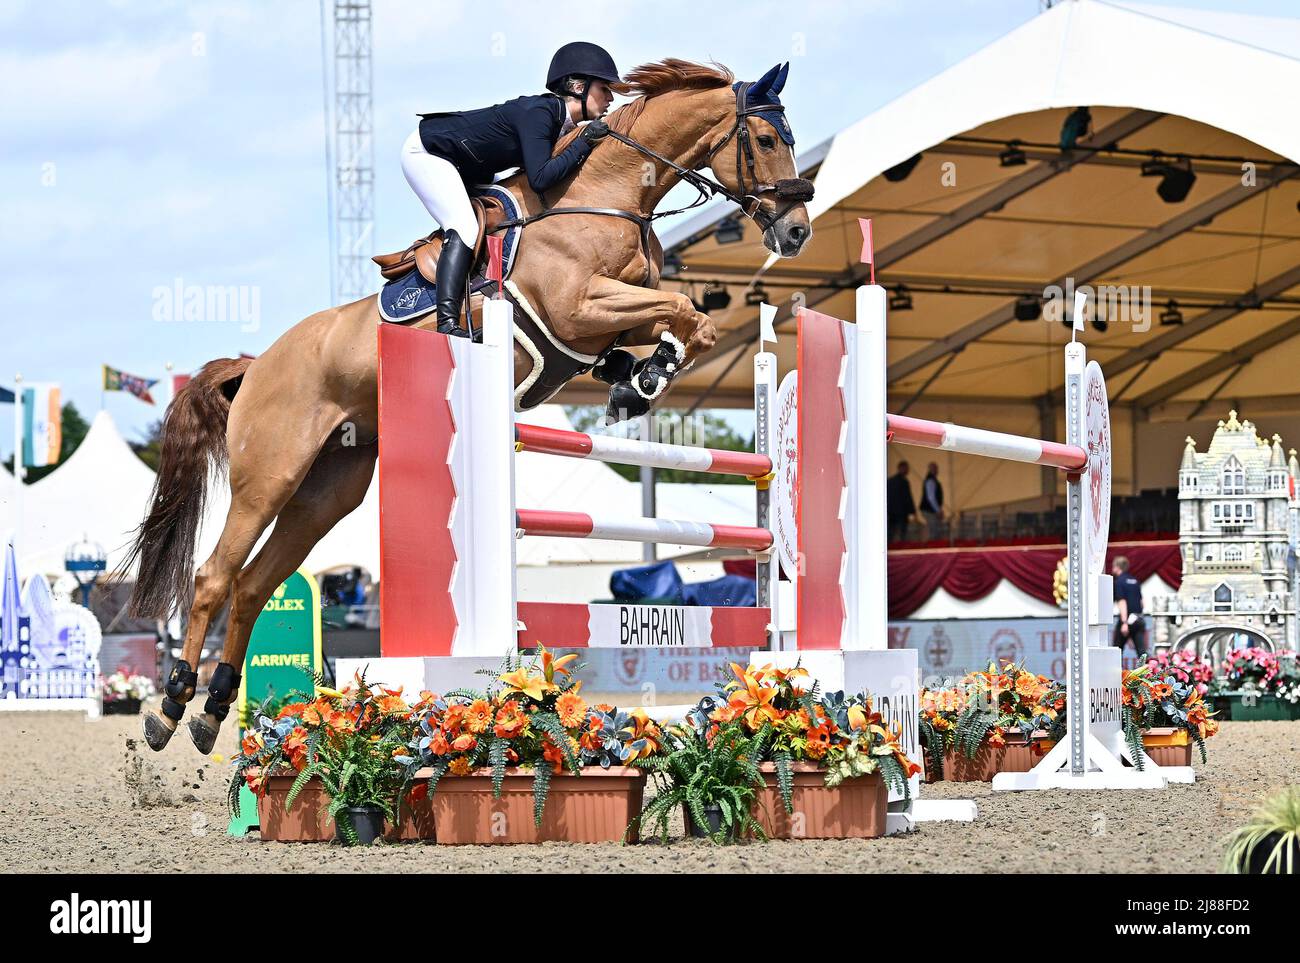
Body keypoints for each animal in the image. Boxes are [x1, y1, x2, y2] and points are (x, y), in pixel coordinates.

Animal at [125, 59, 813, 754]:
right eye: (764, 140)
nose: (796, 231)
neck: (610, 193)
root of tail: (257, 364)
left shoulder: (604, 322)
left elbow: (687, 322)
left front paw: (638, 379)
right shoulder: (579, 306)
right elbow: (682, 309)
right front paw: (643, 379)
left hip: (328, 489)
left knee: (253, 585)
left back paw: (213, 711)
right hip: (271, 473)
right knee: (215, 577)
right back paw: (170, 707)